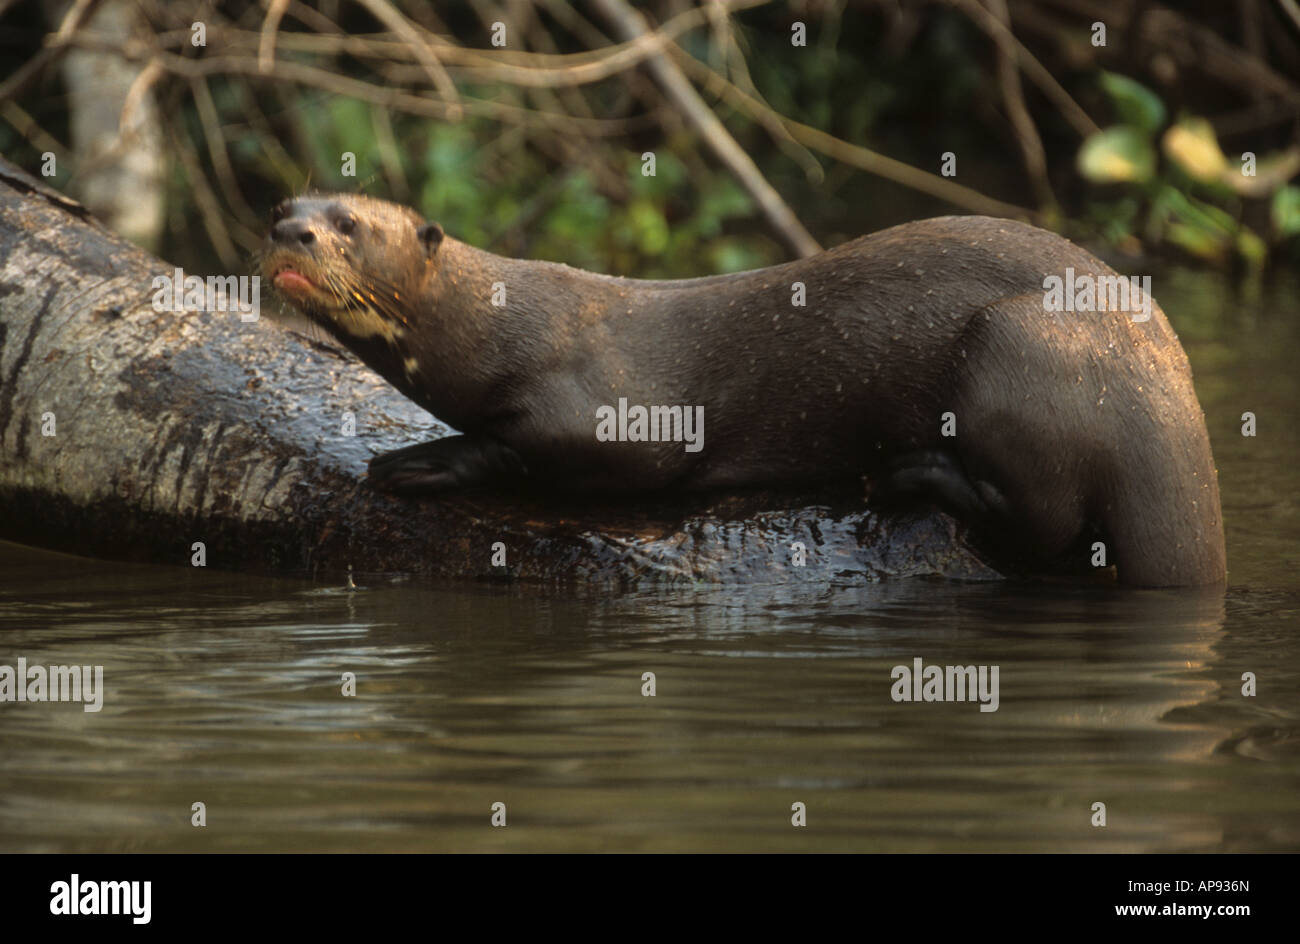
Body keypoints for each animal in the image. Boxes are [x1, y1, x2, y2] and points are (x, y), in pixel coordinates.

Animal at [261, 193, 1226, 587]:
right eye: (282, 204)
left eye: (348, 222)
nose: (289, 232)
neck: (503, 326)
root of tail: (1165, 395)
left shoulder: (621, 412)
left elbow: (548, 452)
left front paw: (417, 461)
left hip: (1013, 348)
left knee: (1046, 525)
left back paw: (907, 474)